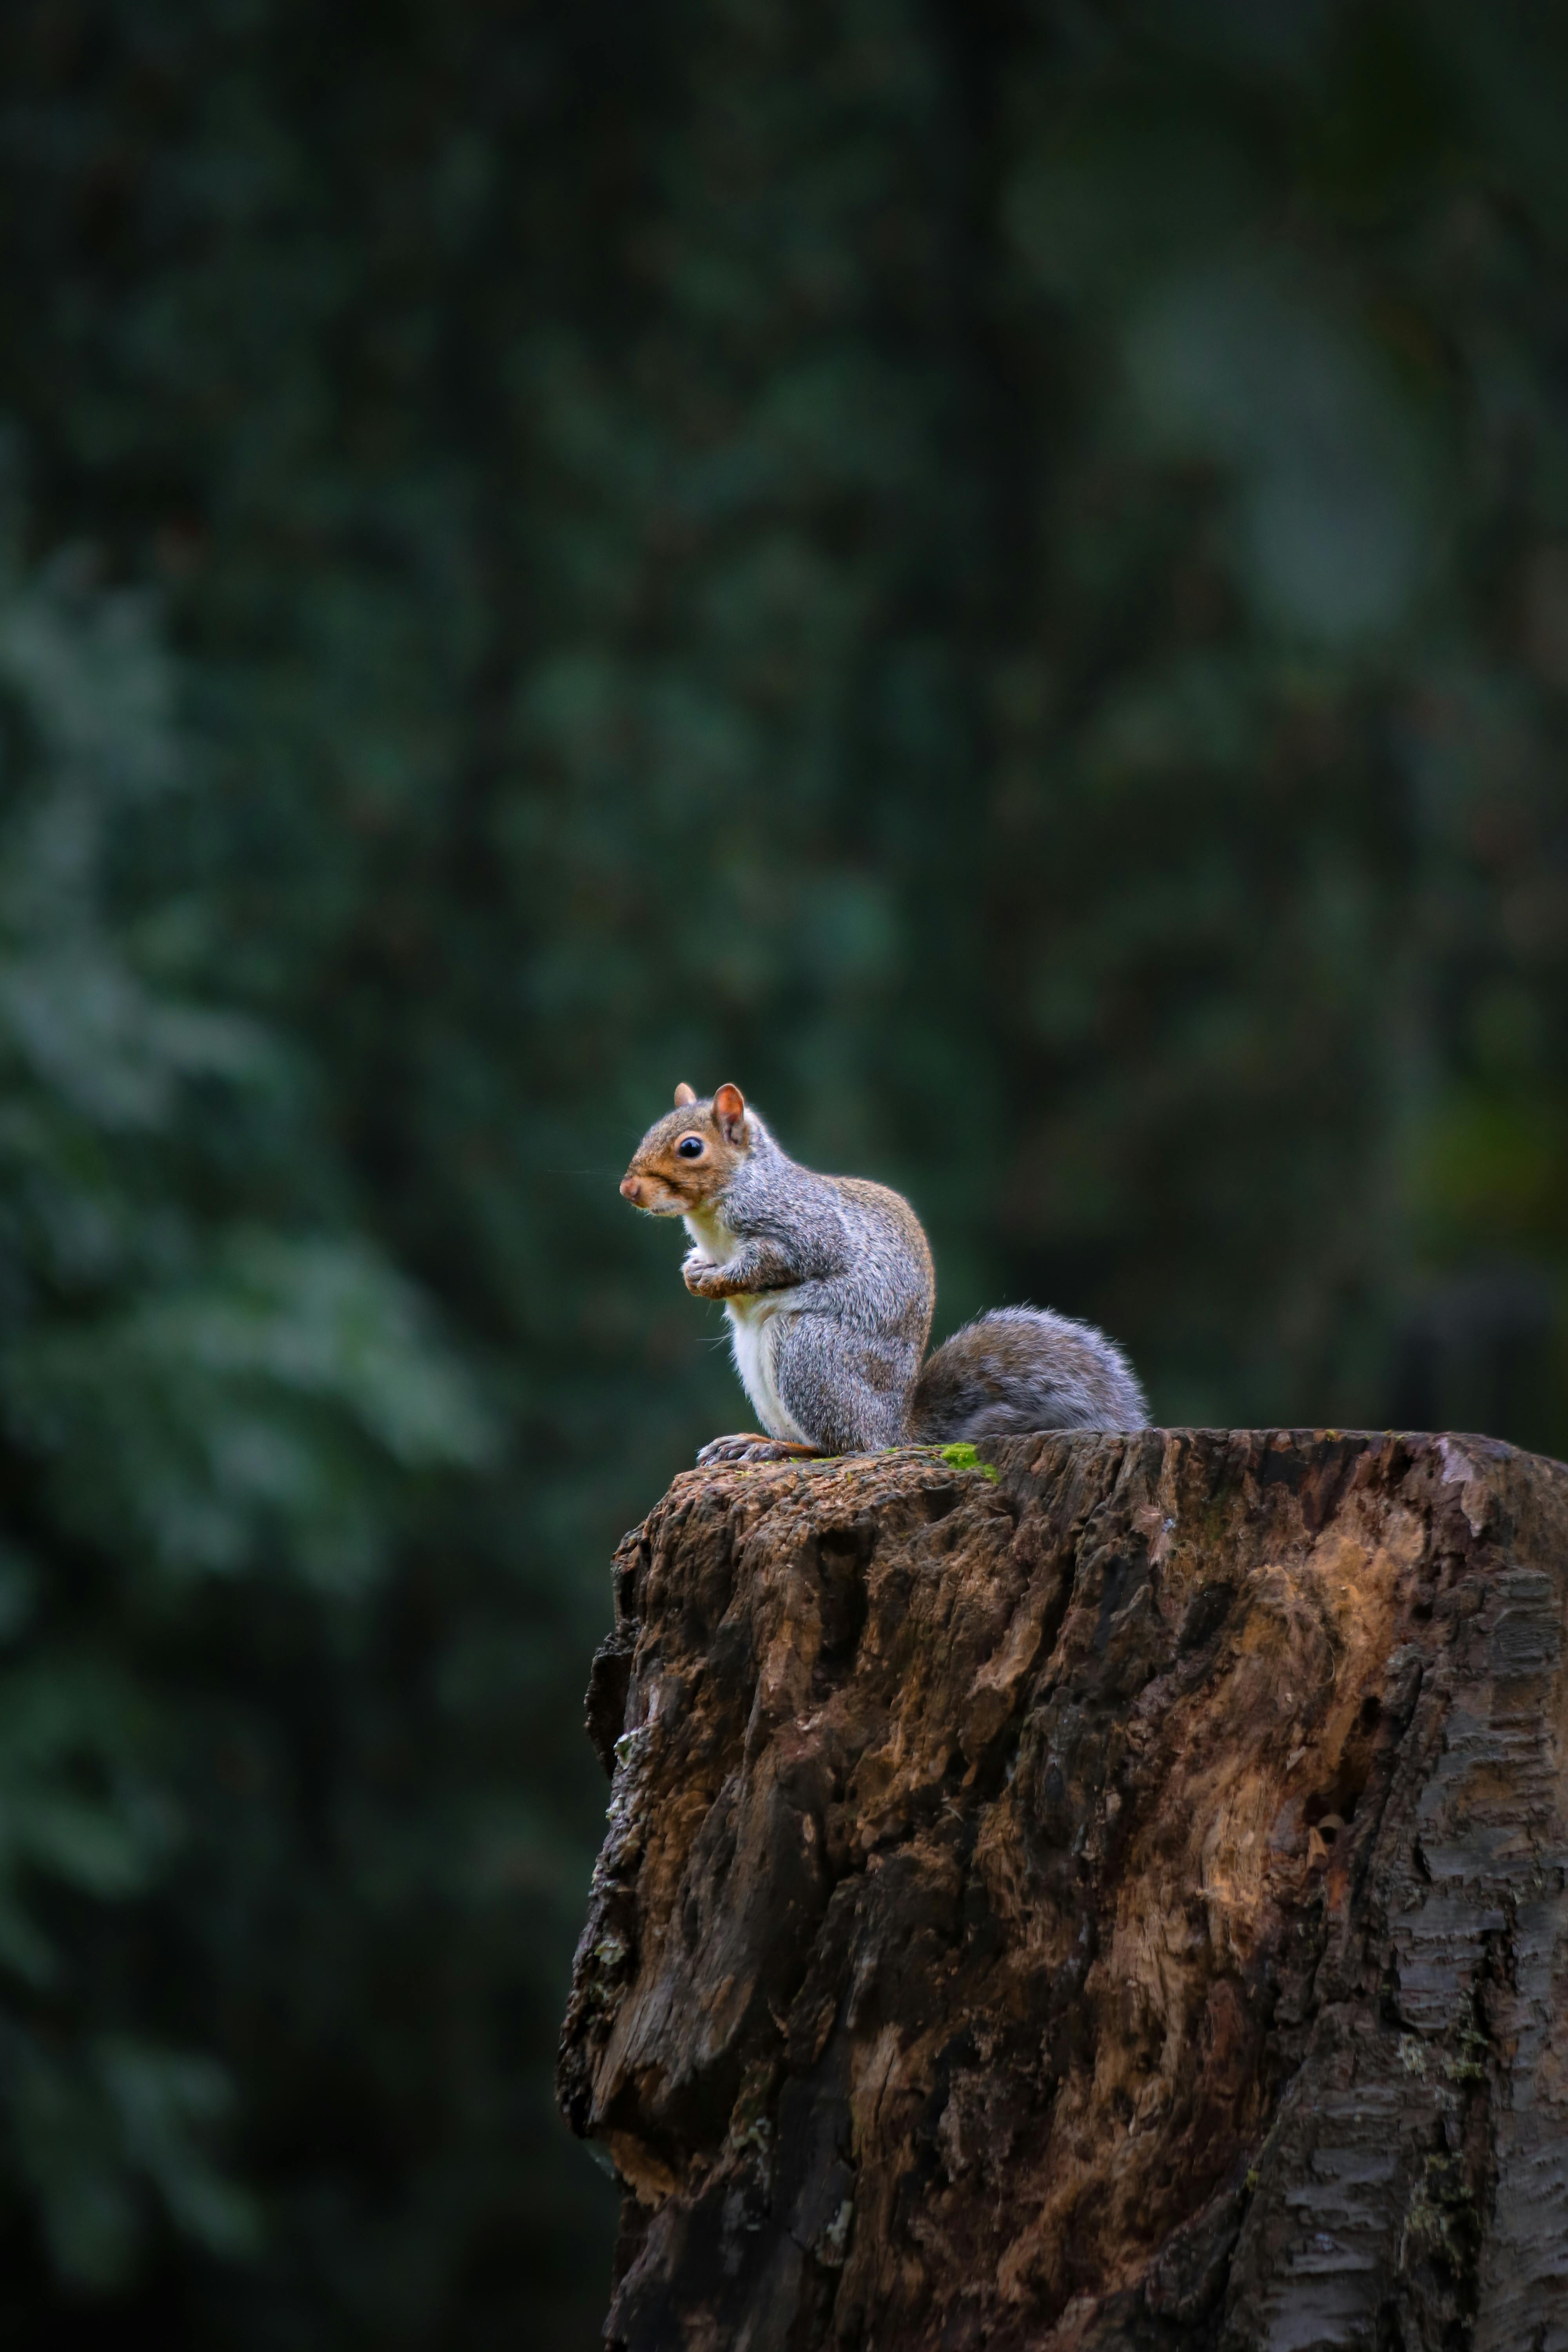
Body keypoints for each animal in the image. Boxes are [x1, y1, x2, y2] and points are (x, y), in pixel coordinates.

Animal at [620, 1082, 1148, 1464]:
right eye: (648, 1132)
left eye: (691, 1148)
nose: (629, 1190)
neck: (713, 1215)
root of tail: (896, 1427)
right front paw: (694, 1273)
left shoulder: (805, 1232)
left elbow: (776, 1263)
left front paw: (718, 1281)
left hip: (809, 1350)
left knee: (845, 1446)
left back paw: (778, 1446)